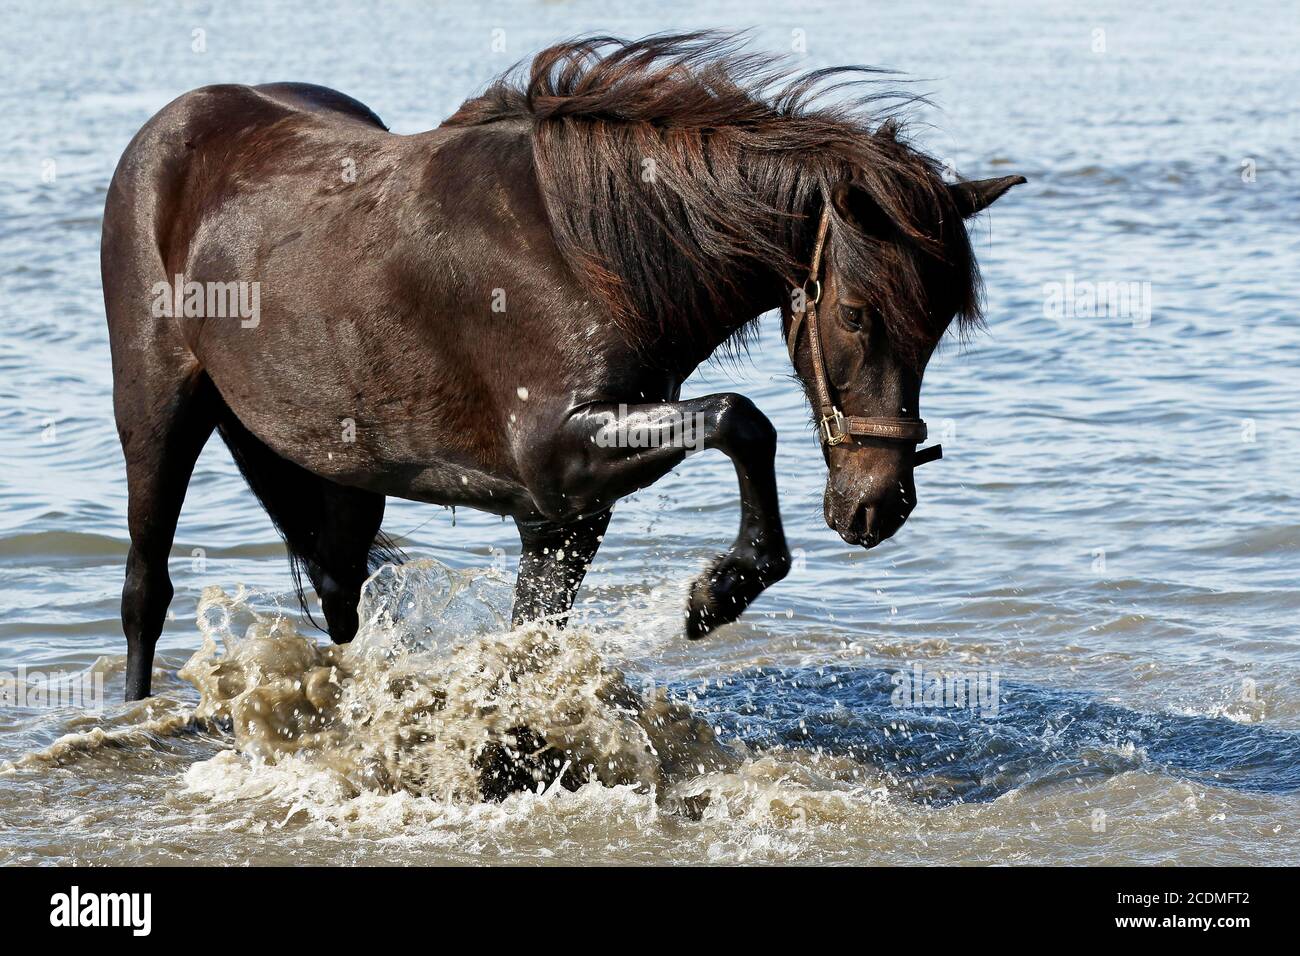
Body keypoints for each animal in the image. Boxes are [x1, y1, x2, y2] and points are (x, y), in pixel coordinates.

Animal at [103, 33, 1024, 700]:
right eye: (858, 313)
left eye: (940, 326)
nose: (878, 504)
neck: (582, 250)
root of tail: (169, 128)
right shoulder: (561, 457)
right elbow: (743, 419)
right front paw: (716, 594)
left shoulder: (562, 511)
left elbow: (534, 637)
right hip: (157, 418)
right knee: (147, 591)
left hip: (344, 469)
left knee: (338, 589)